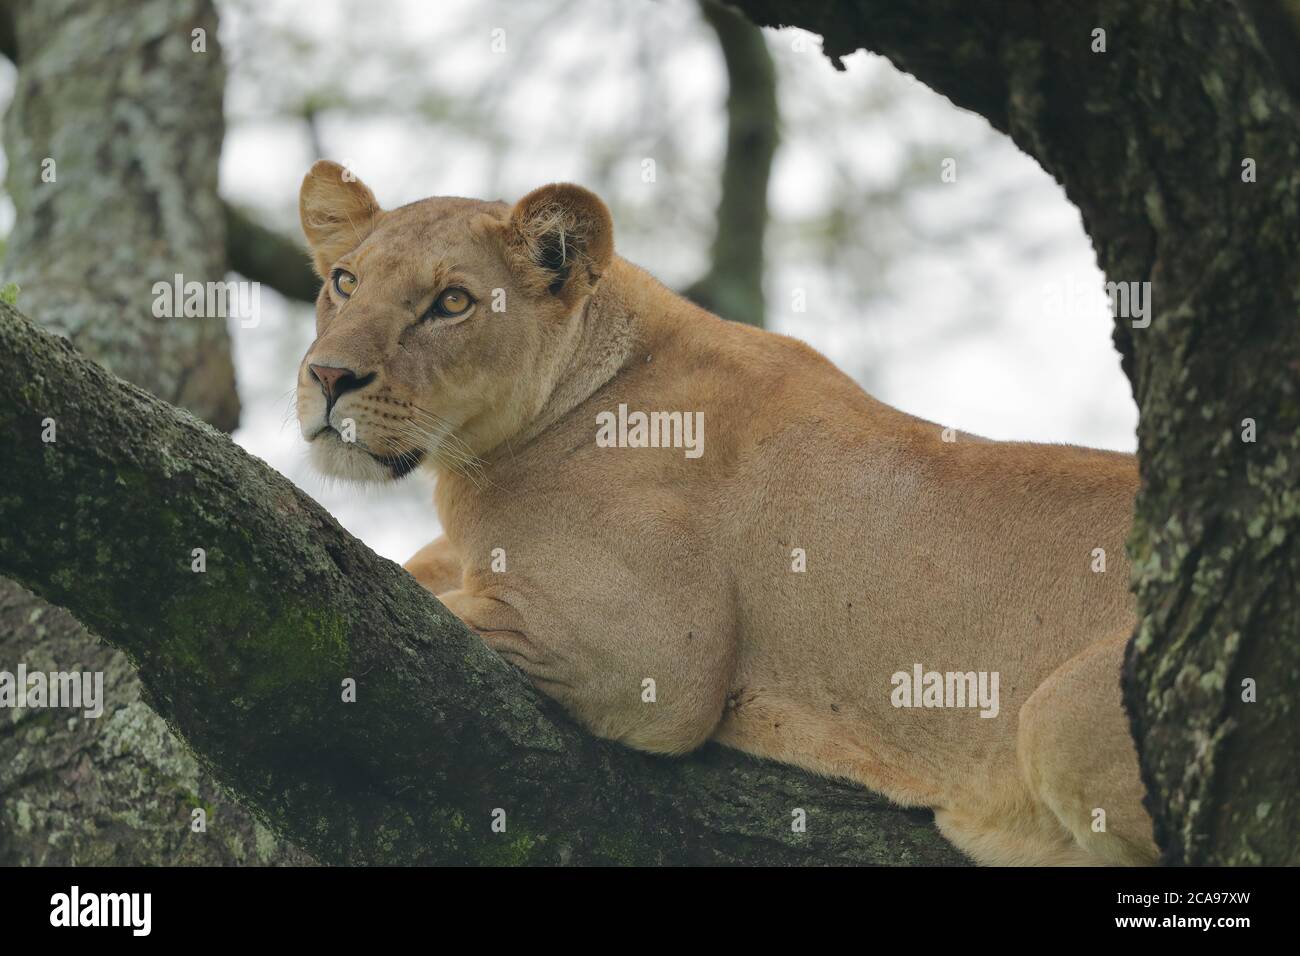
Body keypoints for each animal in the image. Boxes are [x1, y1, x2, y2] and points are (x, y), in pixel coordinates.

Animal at [294, 160, 1158, 866]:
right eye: (345, 281)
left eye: (452, 302)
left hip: (1060, 719)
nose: (328, 377)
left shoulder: (657, 655)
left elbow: (444, 601)